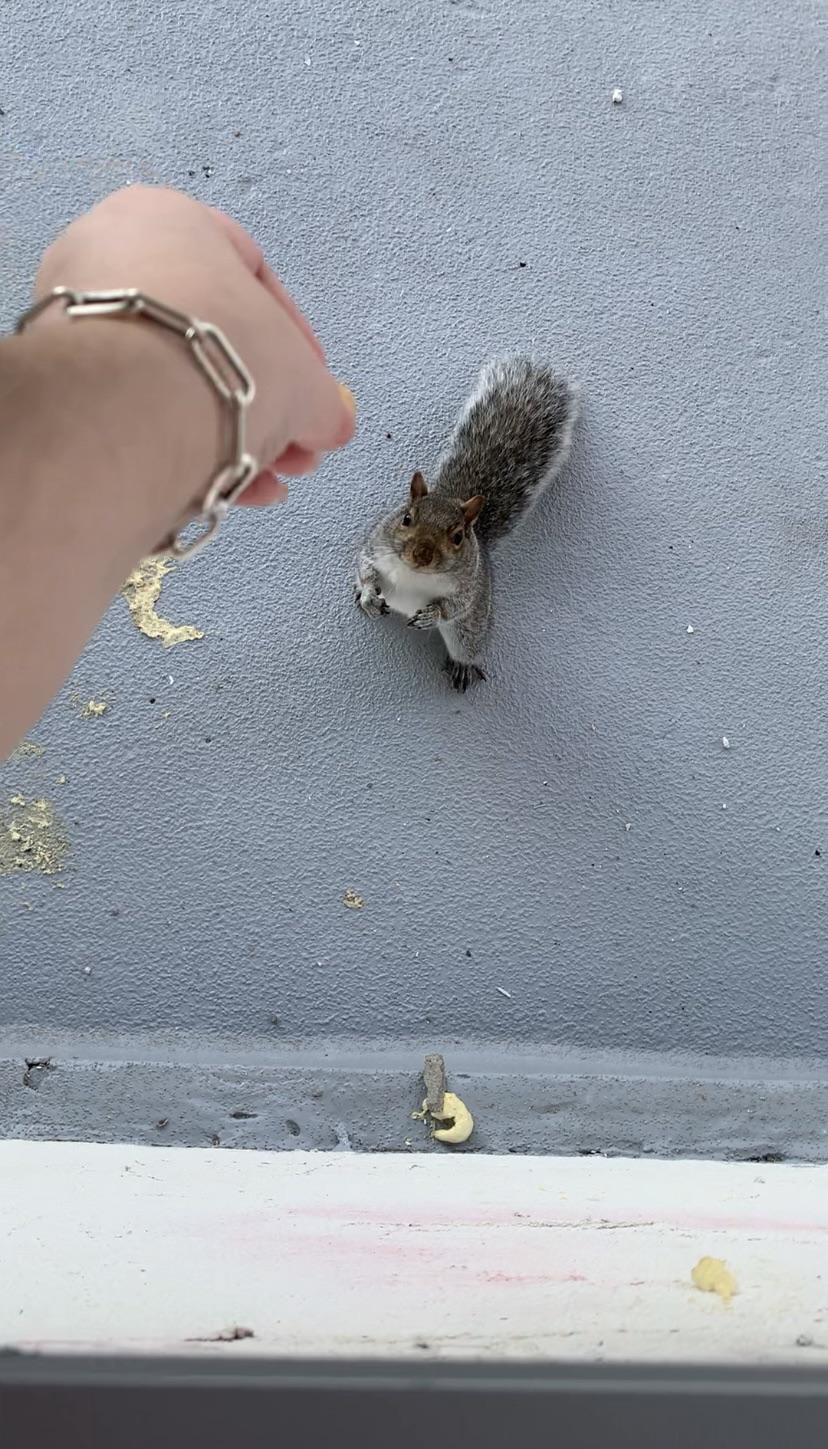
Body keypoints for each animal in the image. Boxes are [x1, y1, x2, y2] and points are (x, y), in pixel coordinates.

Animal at [355, 357, 579, 690]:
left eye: (458, 536)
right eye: (407, 518)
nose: (421, 555)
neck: (414, 574)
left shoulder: (468, 590)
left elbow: (453, 607)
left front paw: (431, 615)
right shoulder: (376, 548)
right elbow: (365, 569)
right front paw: (369, 595)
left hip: (470, 631)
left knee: (467, 644)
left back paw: (463, 666)